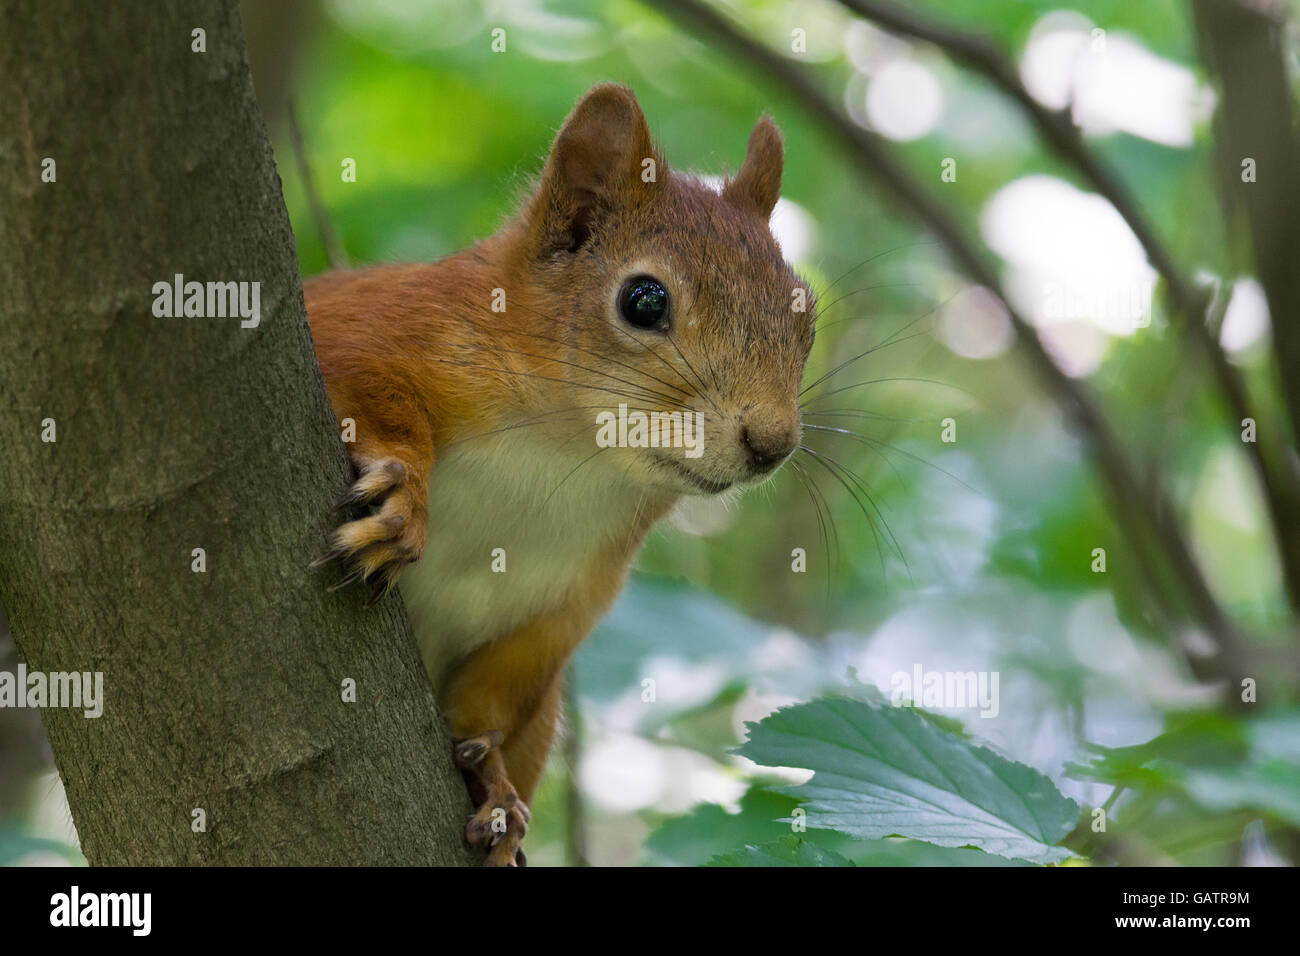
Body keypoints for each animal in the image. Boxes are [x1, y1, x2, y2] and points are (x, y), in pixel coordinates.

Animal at [304, 84, 815, 865]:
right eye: (643, 300)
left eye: (807, 316)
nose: (772, 443)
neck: (566, 452)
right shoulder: (375, 327)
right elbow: (367, 384)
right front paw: (402, 496)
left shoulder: (560, 607)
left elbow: (487, 702)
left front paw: (495, 791)